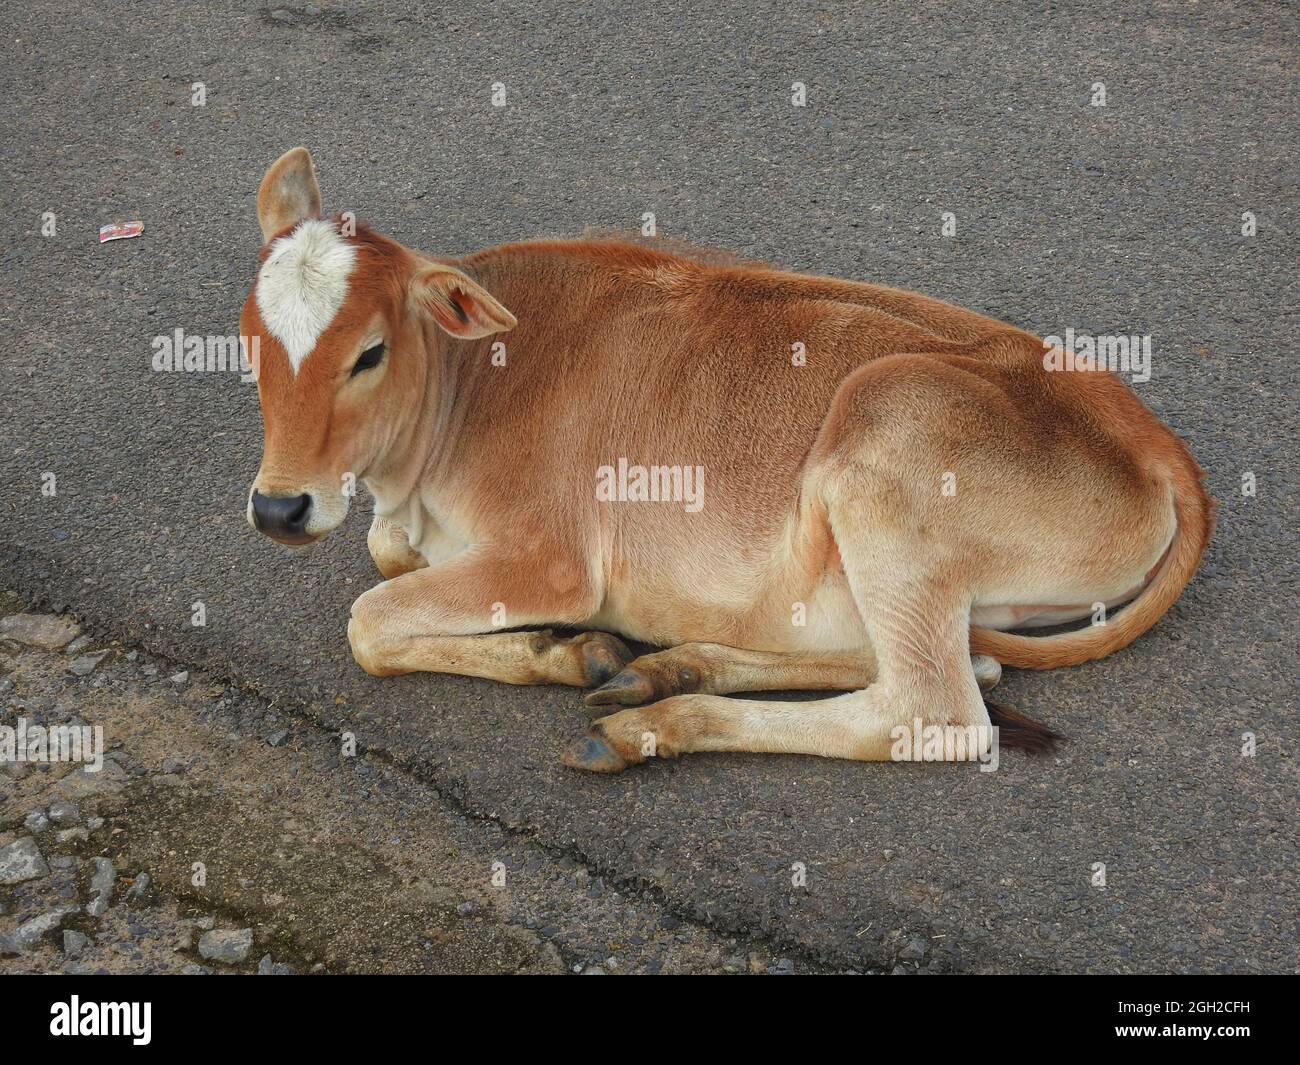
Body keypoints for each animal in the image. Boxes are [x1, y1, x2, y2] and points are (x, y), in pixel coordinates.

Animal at [242, 147, 1213, 773]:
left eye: (368, 352)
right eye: (249, 338)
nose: (279, 507)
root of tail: (1150, 437)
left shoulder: (550, 558)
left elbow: (370, 622)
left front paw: (565, 647)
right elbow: (384, 559)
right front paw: (573, 652)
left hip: (886, 432)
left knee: (932, 709)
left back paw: (654, 721)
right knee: (957, 661)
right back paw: (660, 666)